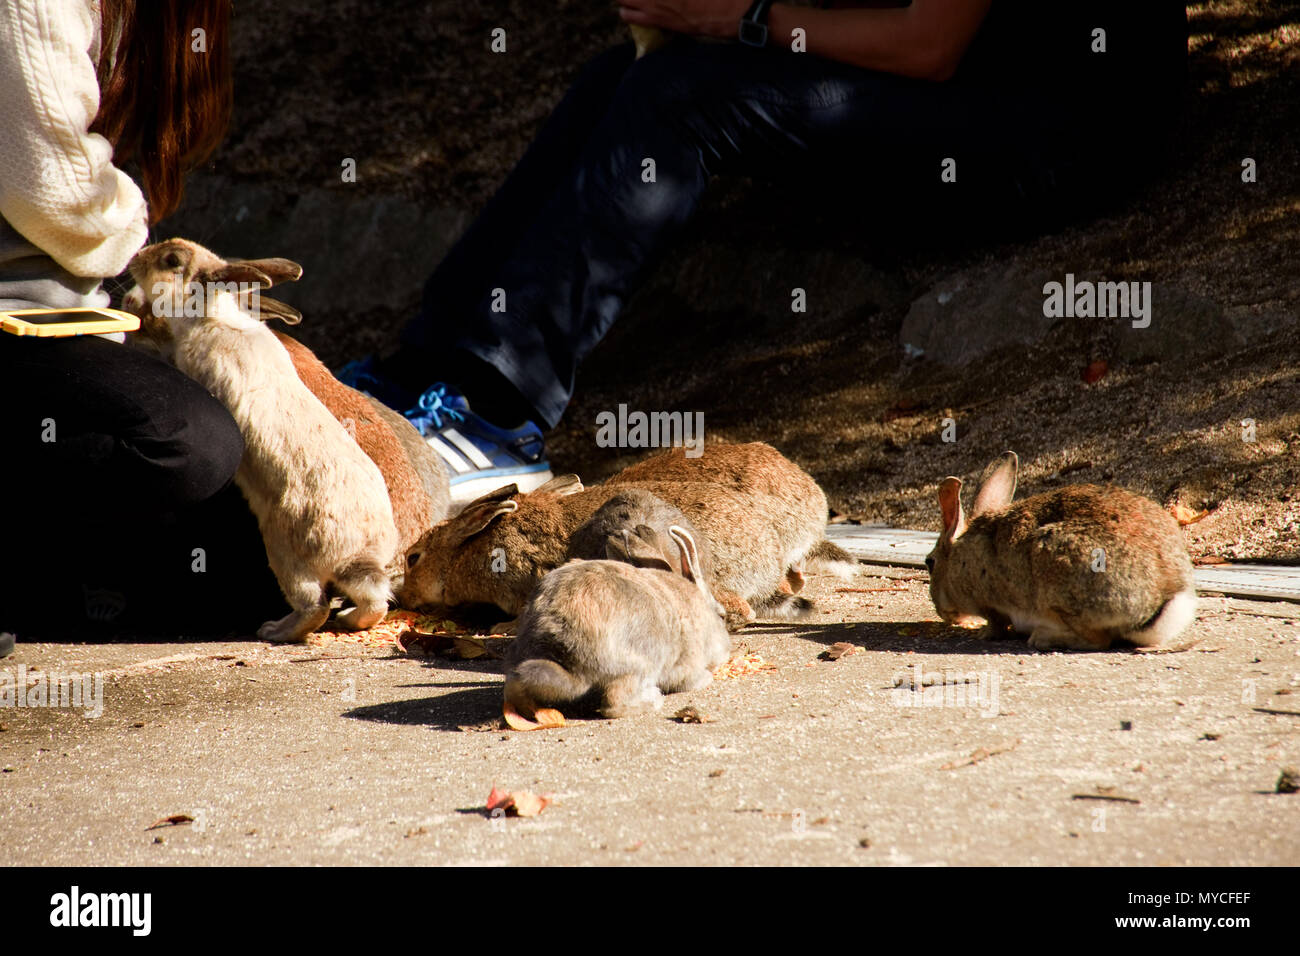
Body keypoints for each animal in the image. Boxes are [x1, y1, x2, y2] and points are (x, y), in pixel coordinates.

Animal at [125, 238, 398, 643]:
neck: (208, 316)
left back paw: (274, 630)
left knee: (313, 606)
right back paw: (350, 621)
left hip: (285, 553)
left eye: (171, 261)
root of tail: (356, 552)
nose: (136, 257)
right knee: (374, 601)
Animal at [503, 524, 732, 718]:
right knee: (614, 704)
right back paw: (653, 700)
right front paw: (706, 677)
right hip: (639, 664)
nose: (726, 652)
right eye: (722, 615)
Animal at [926, 451, 1197, 652]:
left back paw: (1042, 637)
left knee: (1098, 640)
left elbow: (997, 624)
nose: (942, 612)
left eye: (930, 562)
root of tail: (1163, 597)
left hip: (1059, 586)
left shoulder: (990, 603)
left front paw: (983, 633)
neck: (959, 557)